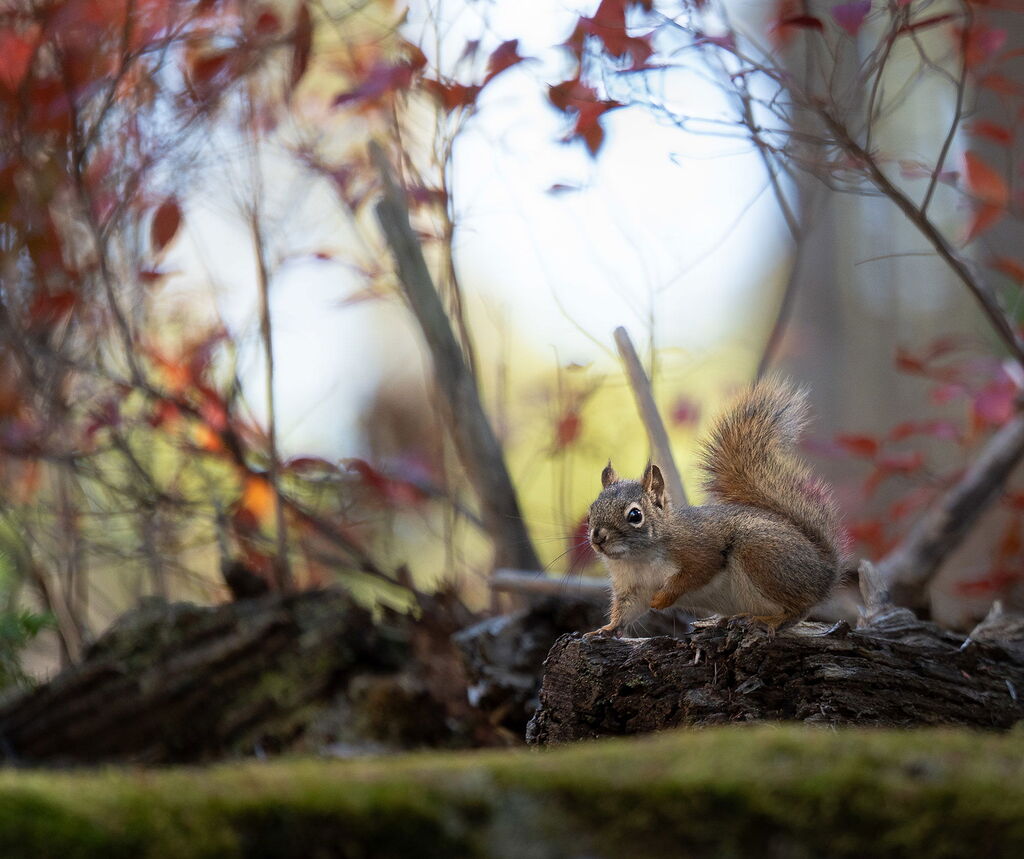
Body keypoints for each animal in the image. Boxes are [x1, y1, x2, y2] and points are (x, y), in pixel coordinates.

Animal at [585, 376, 844, 637]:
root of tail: (825, 570)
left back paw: (770, 621)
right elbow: (627, 610)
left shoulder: (700, 547)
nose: (598, 537)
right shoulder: (633, 588)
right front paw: (605, 630)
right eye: (591, 511)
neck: (638, 559)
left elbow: (695, 573)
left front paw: (662, 598)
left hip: (763, 554)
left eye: (635, 515)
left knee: (799, 608)